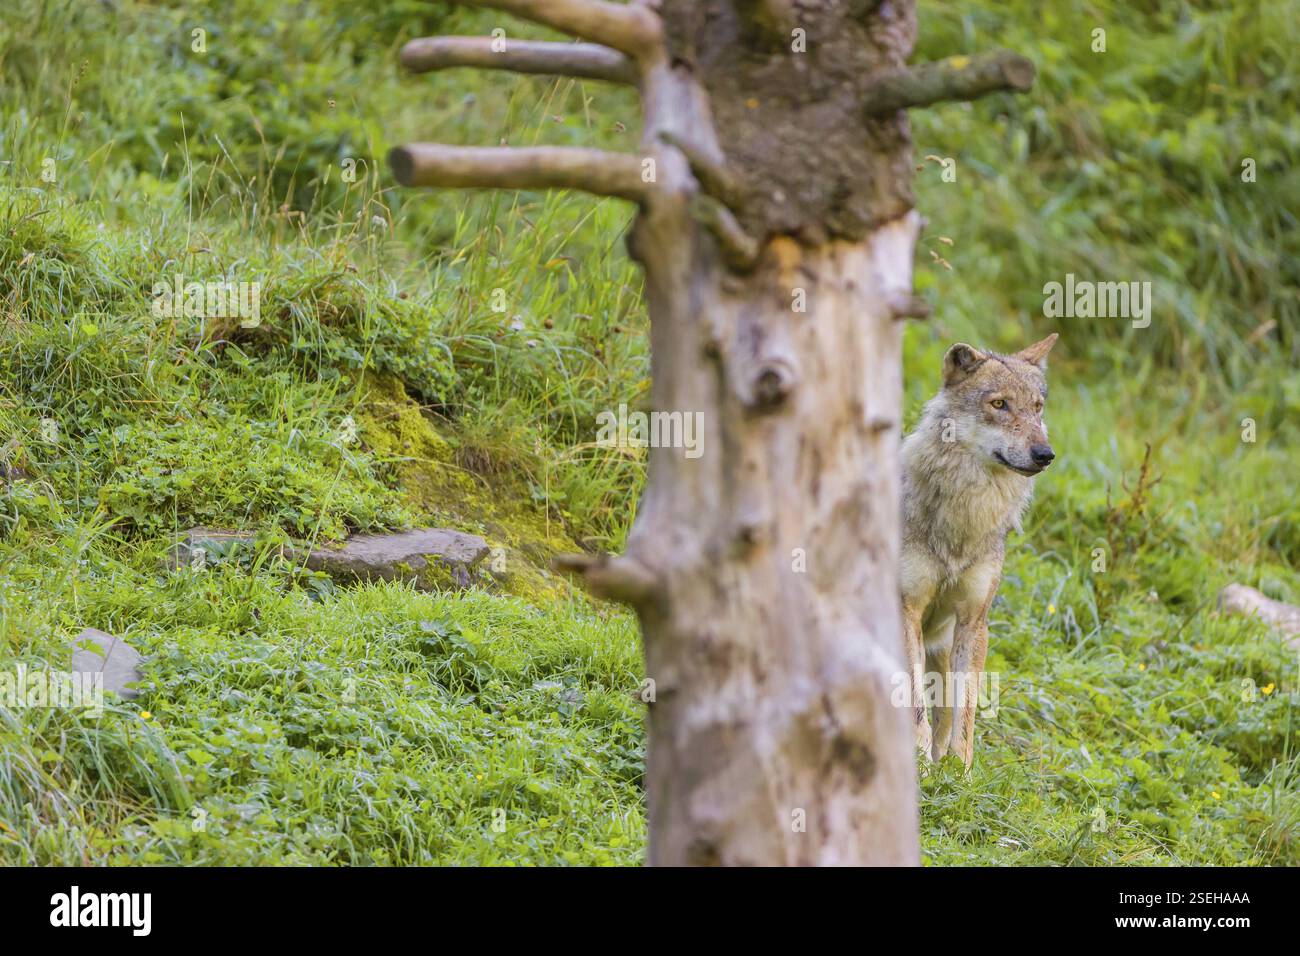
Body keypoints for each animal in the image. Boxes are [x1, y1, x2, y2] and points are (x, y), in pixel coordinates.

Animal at [899, 334, 1058, 765]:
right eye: (999, 404)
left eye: (1037, 408)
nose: (1045, 454)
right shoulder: (907, 610)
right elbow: (916, 708)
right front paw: (921, 768)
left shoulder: (974, 620)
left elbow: (964, 714)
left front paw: (959, 772)